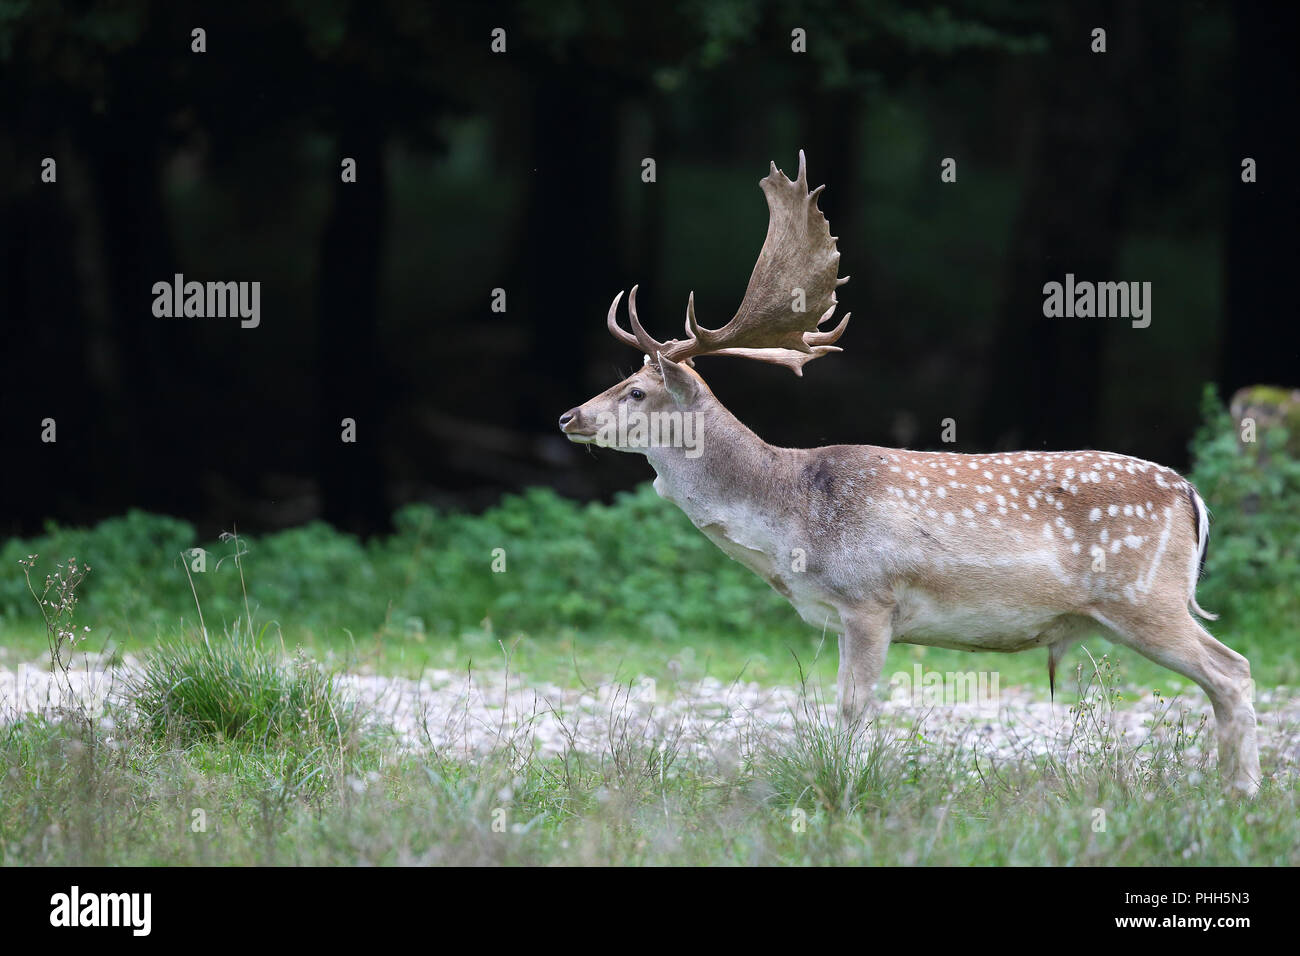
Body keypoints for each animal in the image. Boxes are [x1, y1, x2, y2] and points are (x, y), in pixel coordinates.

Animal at [557, 151, 1261, 795]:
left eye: (638, 392)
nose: (569, 415)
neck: (789, 518)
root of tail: (1191, 495)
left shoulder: (872, 597)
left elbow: (853, 707)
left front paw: (845, 787)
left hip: (1146, 596)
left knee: (1234, 670)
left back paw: (1242, 793)